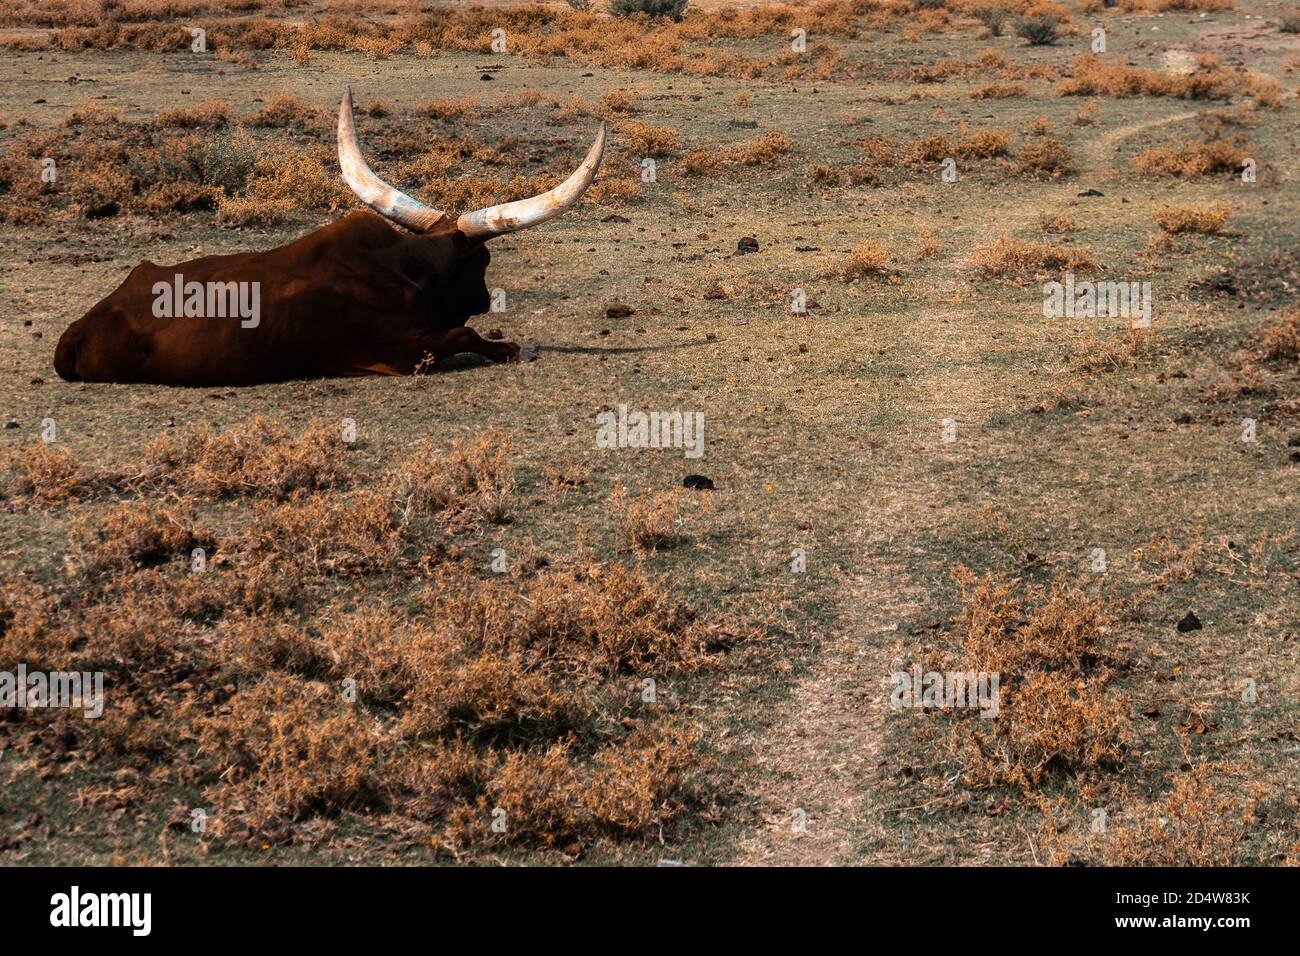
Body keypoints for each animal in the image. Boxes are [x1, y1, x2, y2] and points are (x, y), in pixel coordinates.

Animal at [53, 88, 607, 386]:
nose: (485, 298)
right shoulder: (407, 353)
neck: (406, 270)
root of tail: (77, 331)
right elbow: (469, 336)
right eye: (482, 262)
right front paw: (517, 348)